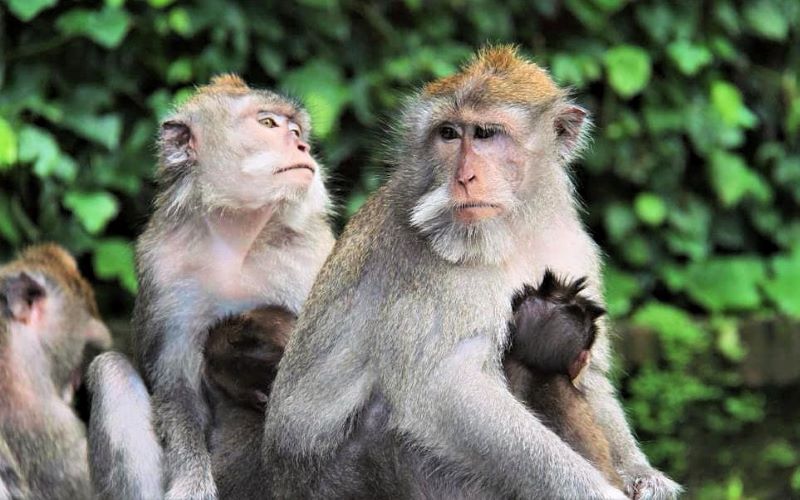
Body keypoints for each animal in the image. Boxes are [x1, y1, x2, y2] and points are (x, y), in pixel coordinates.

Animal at [86, 74, 335, 500]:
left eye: (297, 131)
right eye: (268, 124)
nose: (302, 147)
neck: (236, 237)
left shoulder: (315, 255)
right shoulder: (161, 266)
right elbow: (176, 388)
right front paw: (192, 484)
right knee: (111, 370)